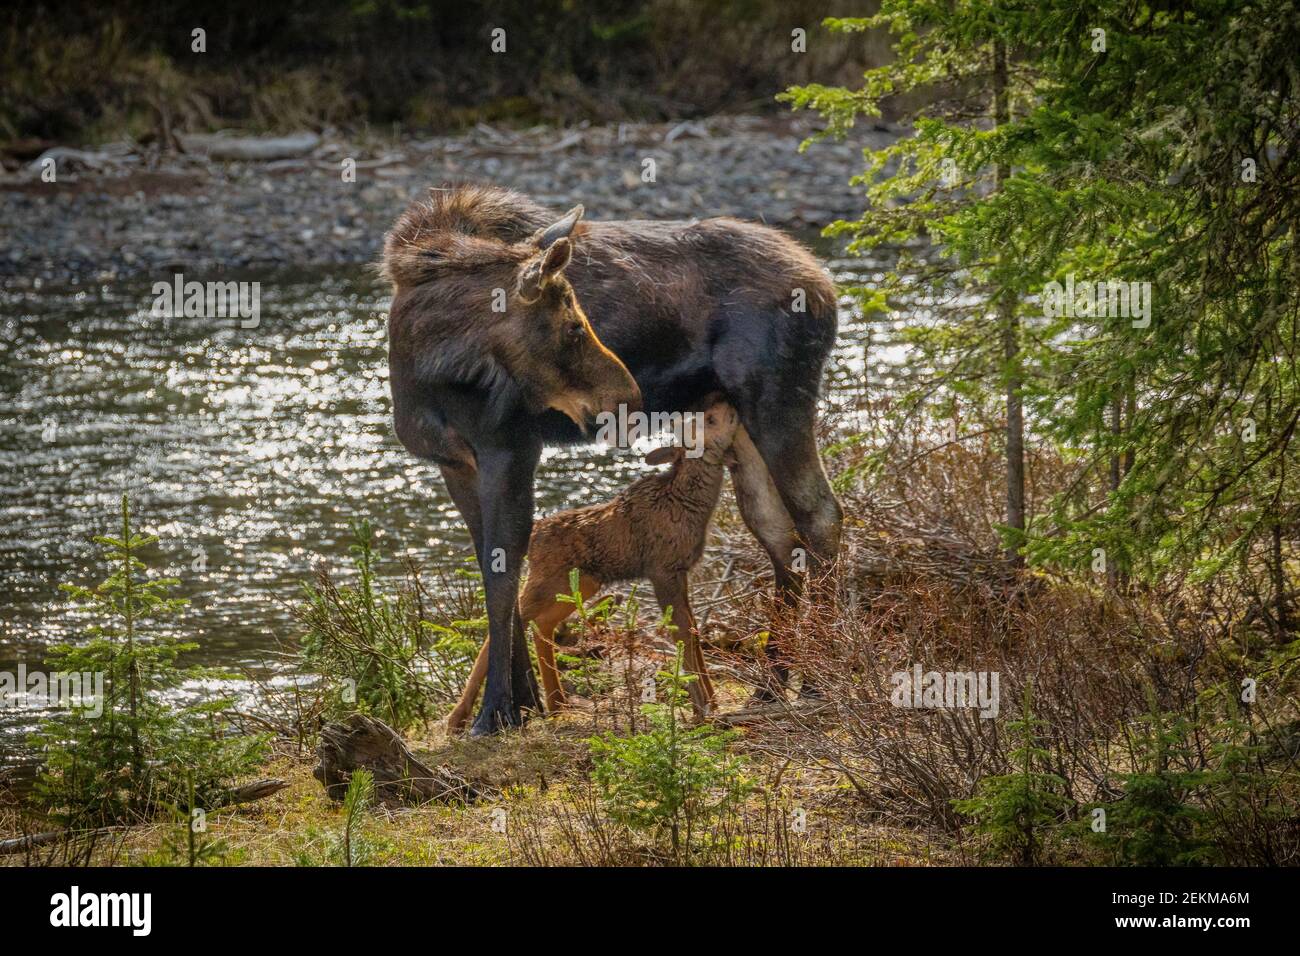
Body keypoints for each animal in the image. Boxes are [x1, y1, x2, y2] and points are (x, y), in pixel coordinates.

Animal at [384, 184, 841, 735]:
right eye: (573, 328)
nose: (629, 394)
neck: (430, 367)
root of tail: (824, 282)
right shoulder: (454, 463)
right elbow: (494, 570)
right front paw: (523, 702)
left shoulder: (511, 448)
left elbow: (503, 573)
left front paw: (498, 710)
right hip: (739, 421)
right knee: (777, 532)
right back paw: (772, 685)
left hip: (776, 401)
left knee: (819, 517)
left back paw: (818, 682)